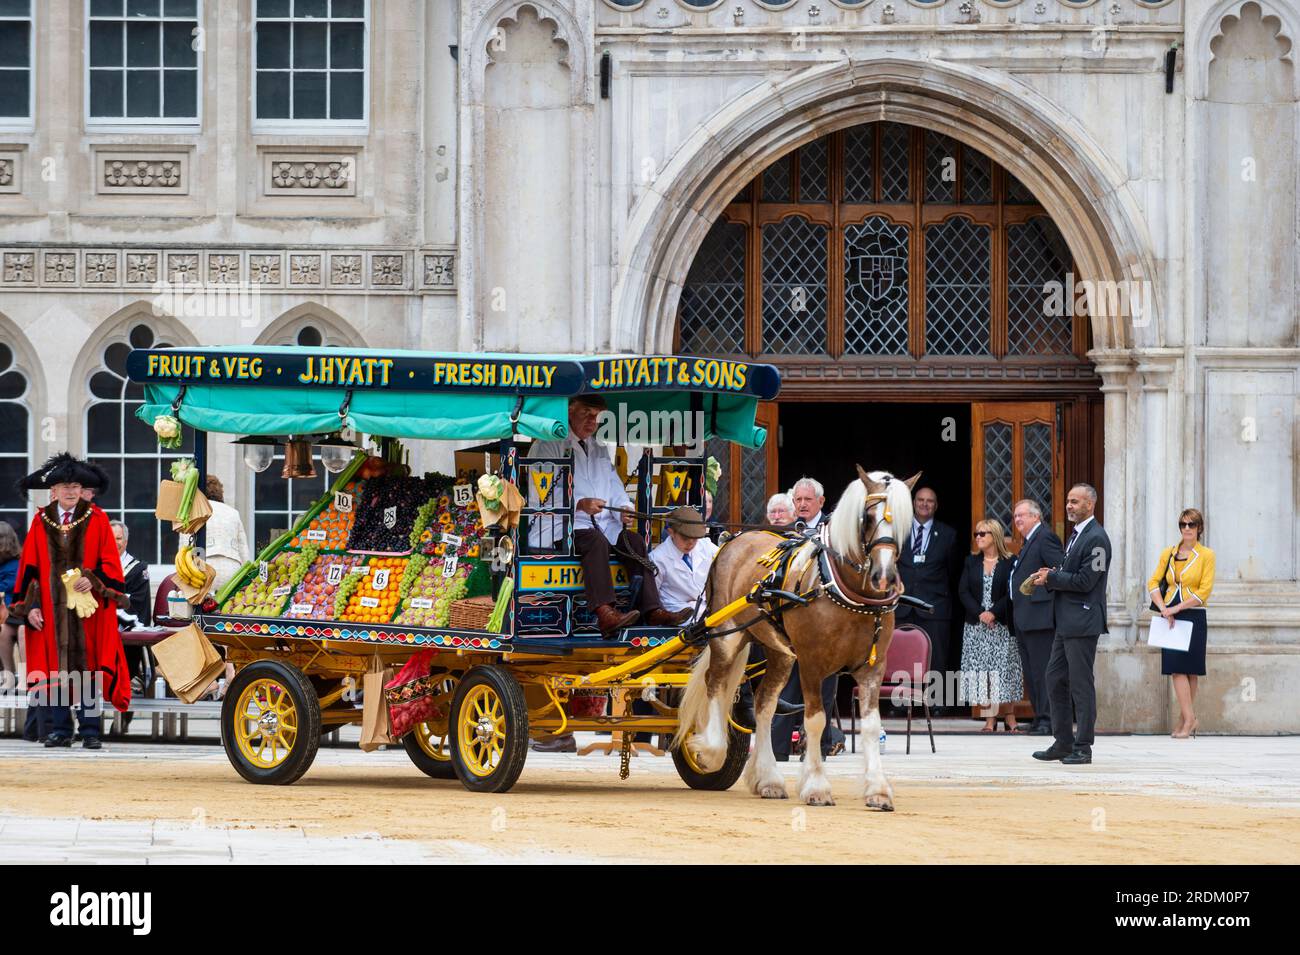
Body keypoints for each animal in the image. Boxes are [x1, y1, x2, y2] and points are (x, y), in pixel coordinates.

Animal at [674, 466, 918, 809]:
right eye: (868, 518)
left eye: (905, 522)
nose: (883, 577)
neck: (841, 590)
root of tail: (733, 539)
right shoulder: (812, 664)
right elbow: (815, 720)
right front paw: (816, 786)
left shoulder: (873, 666)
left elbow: (870, 726)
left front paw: (878, 790)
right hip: (726, 635)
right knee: (715, 683)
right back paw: (711, 750)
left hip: (779, 652)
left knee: (764, 704)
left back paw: (768, 779)